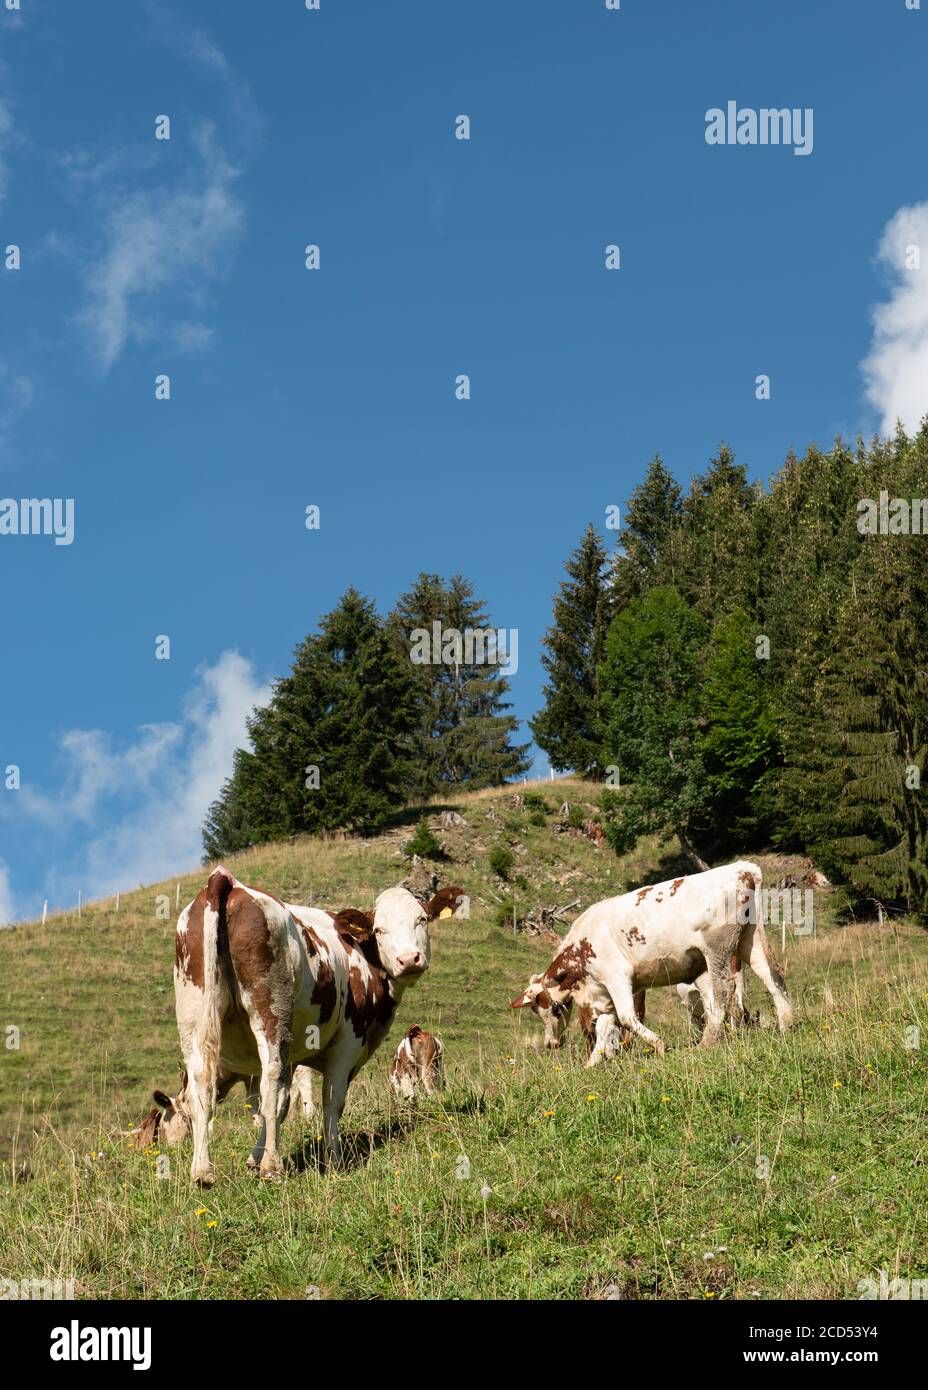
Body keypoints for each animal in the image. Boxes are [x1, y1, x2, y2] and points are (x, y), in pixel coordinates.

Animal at [168, 867, 437, 1185]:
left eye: (421, 919)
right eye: (379, 930)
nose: (408, 959)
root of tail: (227, 880)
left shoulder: (294, 1052)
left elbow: (285, 1104)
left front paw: (253, 1159)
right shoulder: (349, 1041)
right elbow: (331, 1101)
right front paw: (334, 1160)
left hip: (194, 1017)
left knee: (200, 1090)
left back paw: (202, 1172)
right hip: (271, 1012)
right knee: (270, 1084)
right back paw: (272, 1168)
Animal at [511, 861, 791, 1063]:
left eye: (555, 1010)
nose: (552, 1044)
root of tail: (742, 868)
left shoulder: (617, 978)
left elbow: (627, 1018)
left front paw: (659, 1045)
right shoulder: (603, 994)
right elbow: (603, 1030)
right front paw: (592, 1065)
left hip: (717, 948)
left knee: (724, 989)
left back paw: (707, 1042)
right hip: (750, 940)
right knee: (772, 976)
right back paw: (786, 1024)